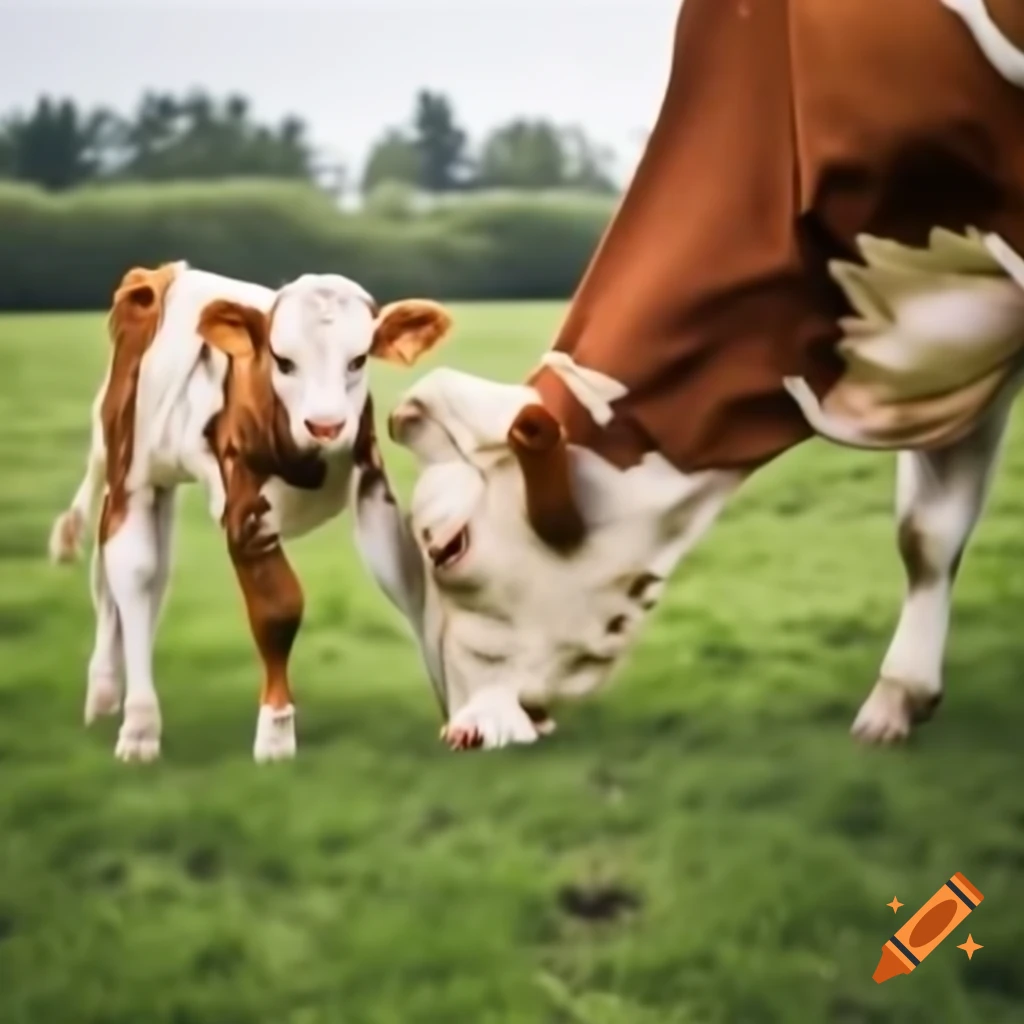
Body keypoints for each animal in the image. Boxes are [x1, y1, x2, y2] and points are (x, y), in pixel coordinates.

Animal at [49, 261, 451, 763]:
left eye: (358, 360)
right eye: (283, 361)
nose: (326, 425)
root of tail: (163, 272)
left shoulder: (374, 489)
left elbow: (405, 580)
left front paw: (457, 709)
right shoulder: (244, 513)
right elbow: (278, 609)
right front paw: (275, 734)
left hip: (159, 487)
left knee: (133, 577)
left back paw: (106, 695)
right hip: (130, 472)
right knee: (132, 574)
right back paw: (138, 724)